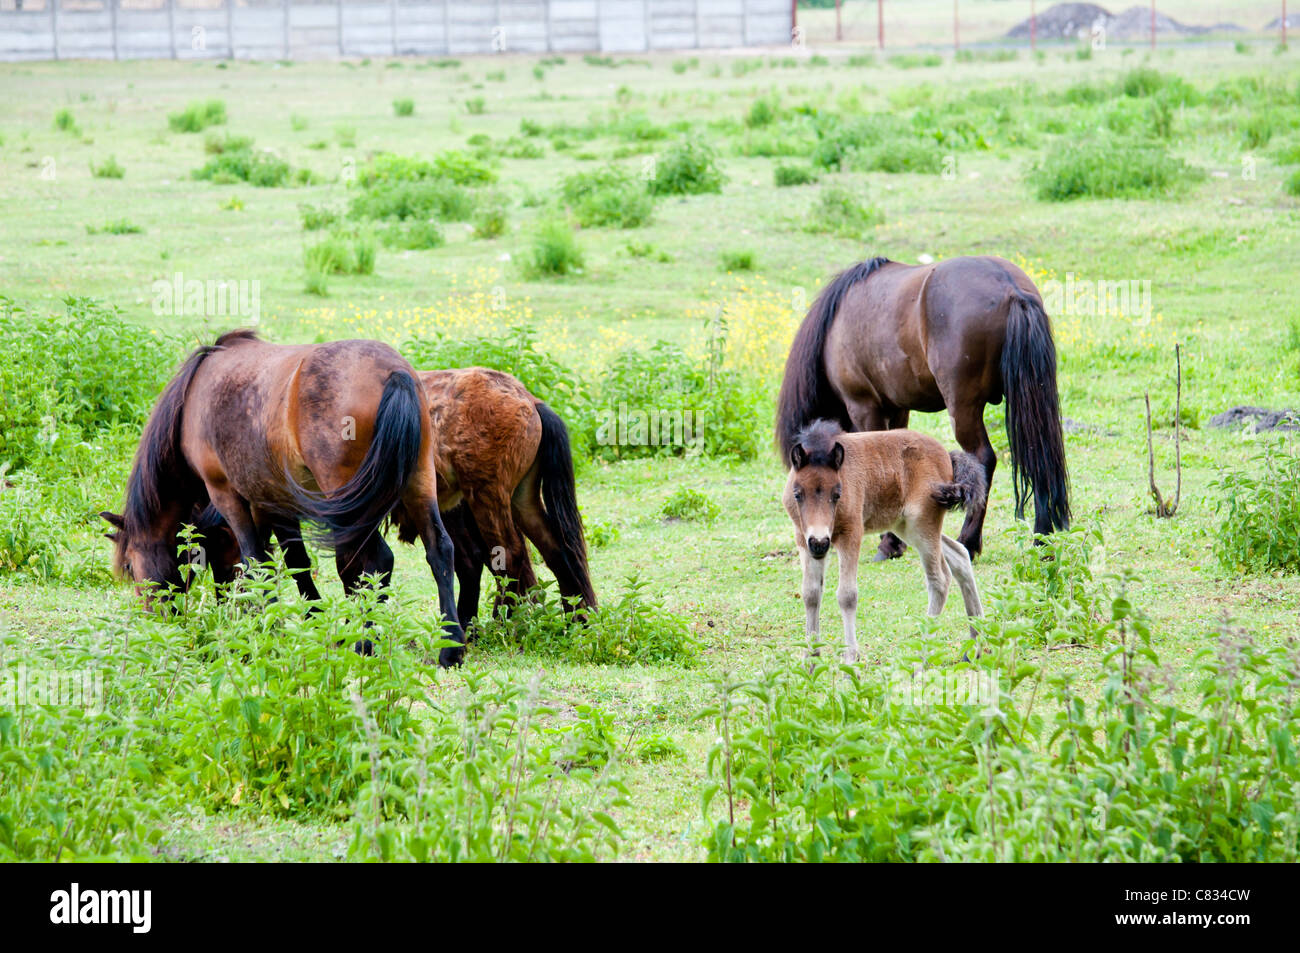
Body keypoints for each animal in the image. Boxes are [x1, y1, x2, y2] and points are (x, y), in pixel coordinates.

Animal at [100, 329, 464, 667]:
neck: (193, 396)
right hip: (419, 484)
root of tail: (394, 372)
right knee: (440, 550)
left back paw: (363, 641)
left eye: (130, 565)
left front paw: (266, 627)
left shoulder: (226, 492)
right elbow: (293, 562)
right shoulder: (272, 501)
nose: (155, 620)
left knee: (376, 560)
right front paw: (309, 621)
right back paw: (450, 647)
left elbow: (255, 561)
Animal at [181, 366, 597, 632]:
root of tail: (529, 399)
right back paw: (577, 619)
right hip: (518, 501)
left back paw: (511, 623)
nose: (222, 598)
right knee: (558, 551)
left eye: (207, 547)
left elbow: (325, 567)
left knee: (512, 558)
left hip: (488, 500)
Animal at [776, 255, 1069, 561]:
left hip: (962, 409)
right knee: (1039, 457)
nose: (816, 541)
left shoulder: (864, 407)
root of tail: (1010, 287)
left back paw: (968, 541)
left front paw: (889, 543)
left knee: (983, 459)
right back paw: (1042, 538)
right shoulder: (897, 409)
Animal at [783, 420, 985, 663]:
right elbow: (811, 593)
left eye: (837, 494)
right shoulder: (804, 541)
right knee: (960, 555)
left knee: (940, 579)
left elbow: (847, 595)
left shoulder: (851, 534)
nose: (820, 542)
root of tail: (947, 455)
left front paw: (851, 659)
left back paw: (921, 661)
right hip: (906, 527)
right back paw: (975, 648)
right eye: (797, 494)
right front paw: (811, 660)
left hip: (923, 525)